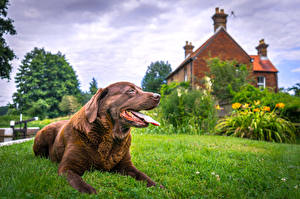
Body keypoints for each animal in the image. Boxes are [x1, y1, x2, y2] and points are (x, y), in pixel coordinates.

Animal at [32, 81, 162, 194]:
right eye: (131, 90)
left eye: (140, 89)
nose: (158, 96)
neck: (111, 137)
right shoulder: (67, 168)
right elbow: (77, 181)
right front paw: (89, 190)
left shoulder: (127, 166)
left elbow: (144, 176)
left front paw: (158, 187)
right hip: (43, 135)